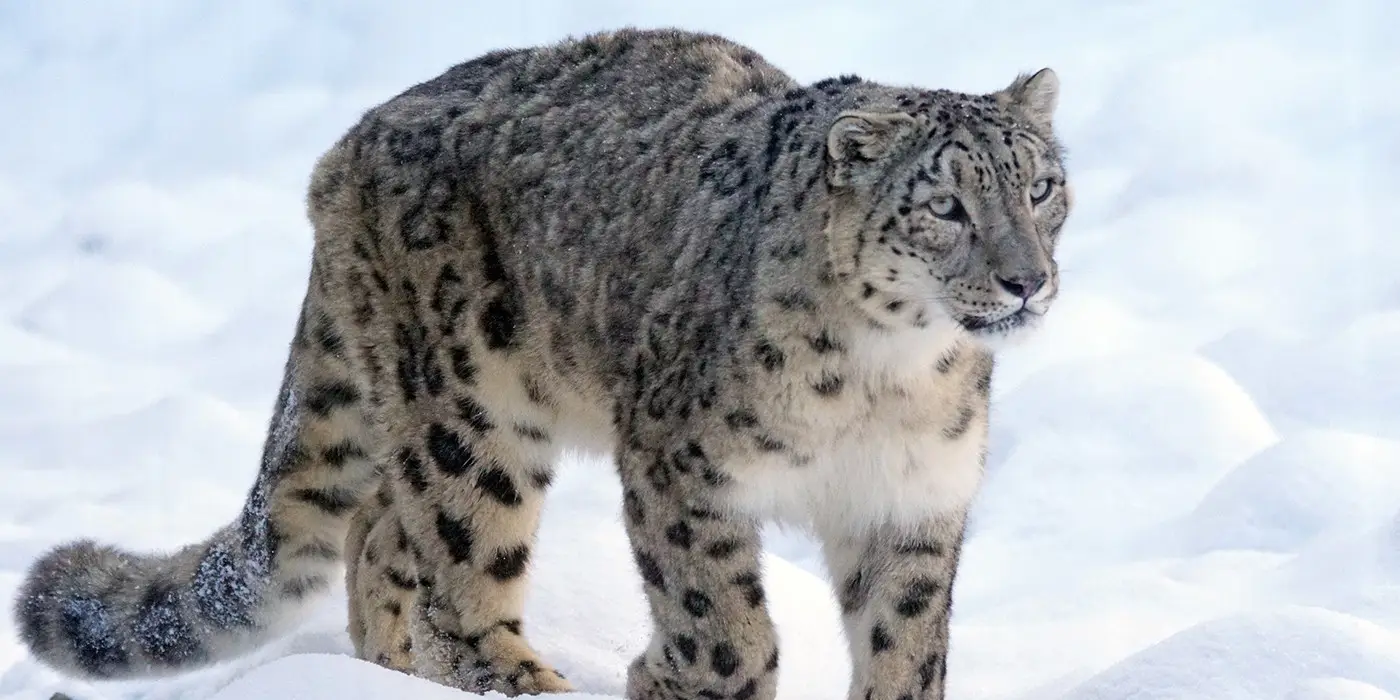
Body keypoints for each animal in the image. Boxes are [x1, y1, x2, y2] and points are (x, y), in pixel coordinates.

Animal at [13, 26, 1072, 700]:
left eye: (1042, 187)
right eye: (945, 206)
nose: (1026, 280)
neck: (891, 378)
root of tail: (345, 149)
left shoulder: (913, 502)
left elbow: (906, 647)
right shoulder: (683, 469)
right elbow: (720, 620)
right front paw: (668, 677)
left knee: (379, 535)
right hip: (470, 413)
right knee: (455, 571)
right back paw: (517, 683)